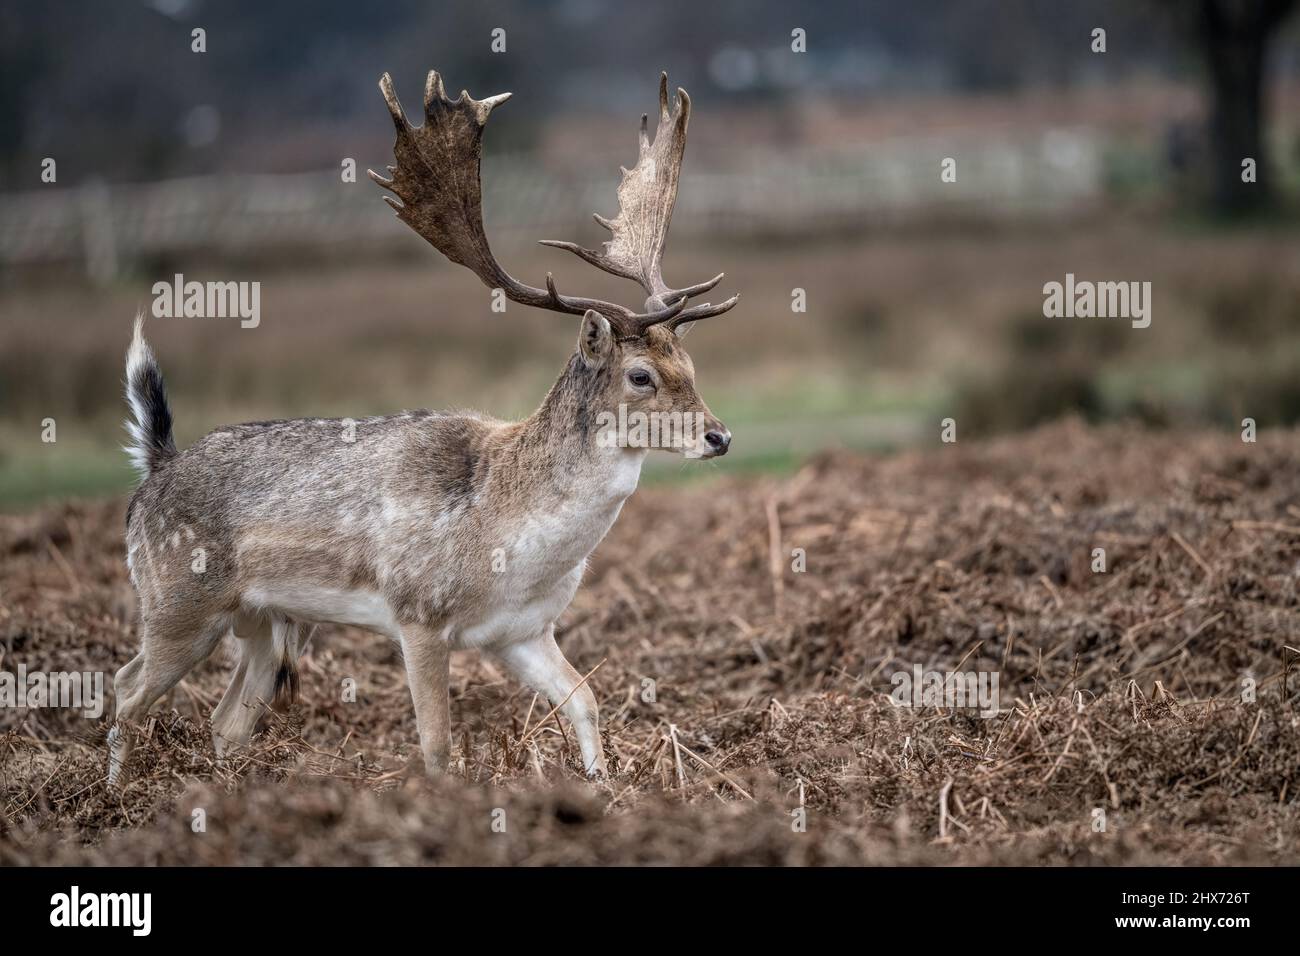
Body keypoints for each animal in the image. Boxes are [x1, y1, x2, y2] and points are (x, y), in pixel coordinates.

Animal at [107, 70, 738, 787]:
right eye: (640, 376)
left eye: (690, 364)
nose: (719, 436)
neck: (505, 540)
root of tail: (153, 472)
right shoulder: (418, 614)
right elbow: (436, 744)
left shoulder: (522, 631)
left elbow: (586, 701)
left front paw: (601, 786)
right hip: (177, 599)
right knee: (125, 687)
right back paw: (114, 795)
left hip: (265, 621)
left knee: (224, 720)